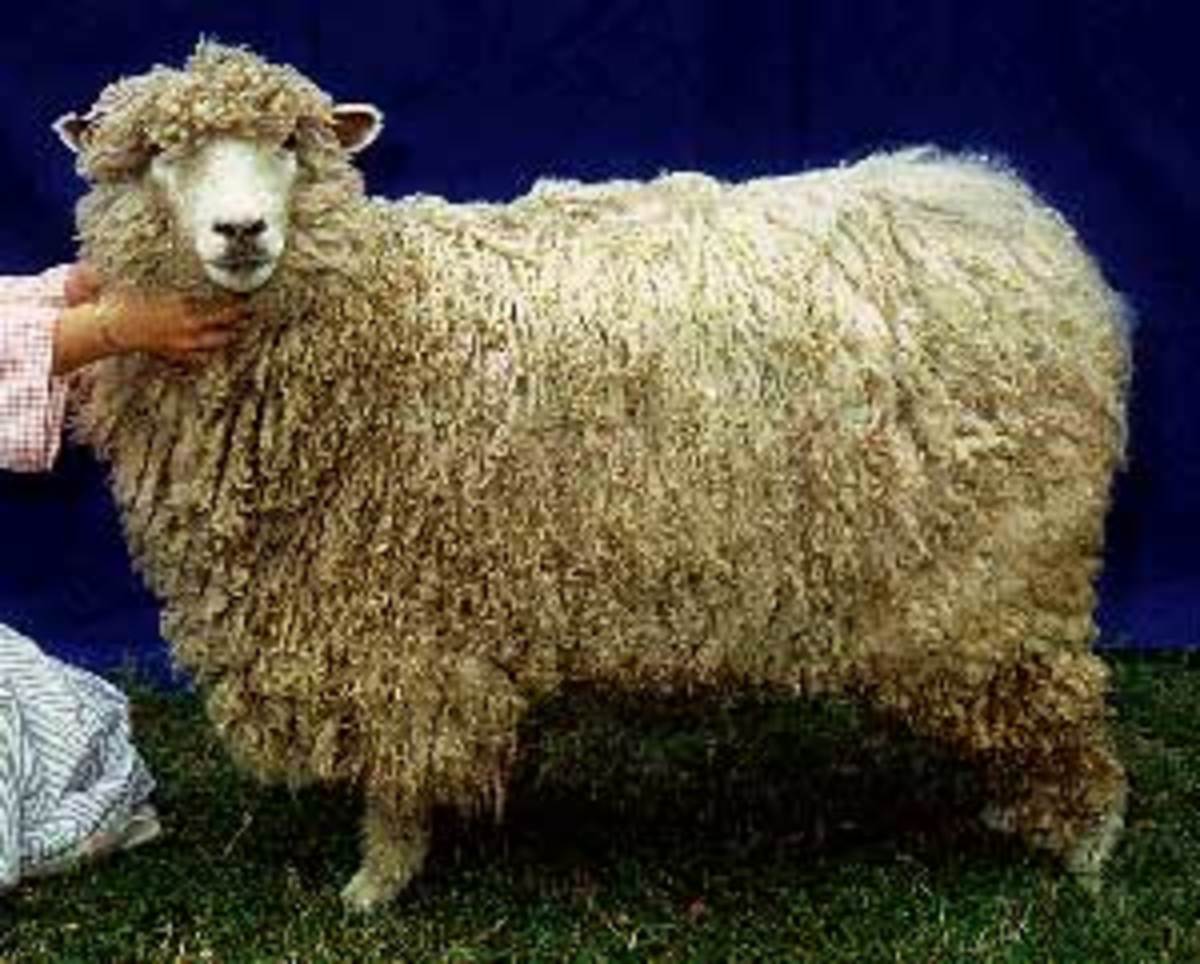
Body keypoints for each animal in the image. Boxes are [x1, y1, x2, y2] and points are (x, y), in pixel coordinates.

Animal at [53, 41, 1131, 911]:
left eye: (290, 143)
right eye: (158, 155)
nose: (242, 232)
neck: (379, 319)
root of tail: (1017, 225)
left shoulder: (399, 613)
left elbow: (400, 764)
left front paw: (378, 880)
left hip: (1001, 570)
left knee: (1067, 706)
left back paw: (1087, 846)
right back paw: (1023, 811)